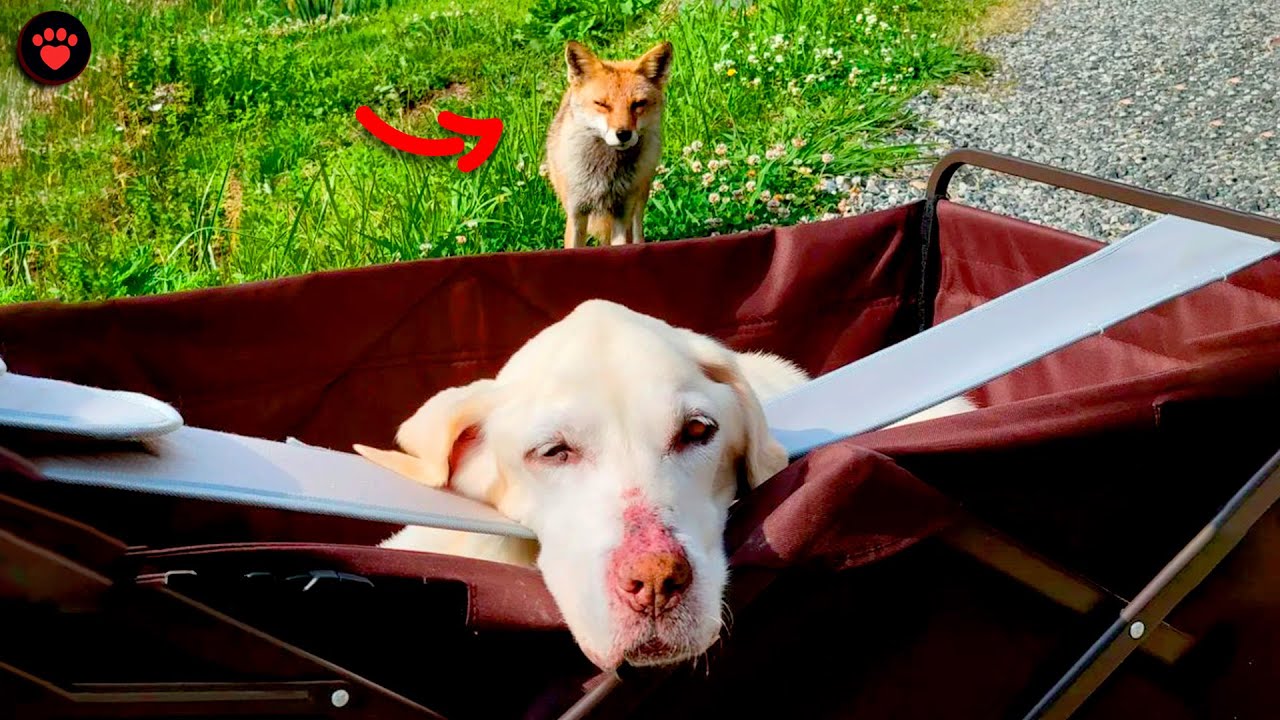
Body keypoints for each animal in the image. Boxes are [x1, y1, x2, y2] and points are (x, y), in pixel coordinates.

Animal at [544, 40, 674, 249]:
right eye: (602, 104)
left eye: (638, 104)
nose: (623, 134)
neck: (604, 177)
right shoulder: (576, 213)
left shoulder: (622, 212)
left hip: (640, 196)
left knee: (637, 230)